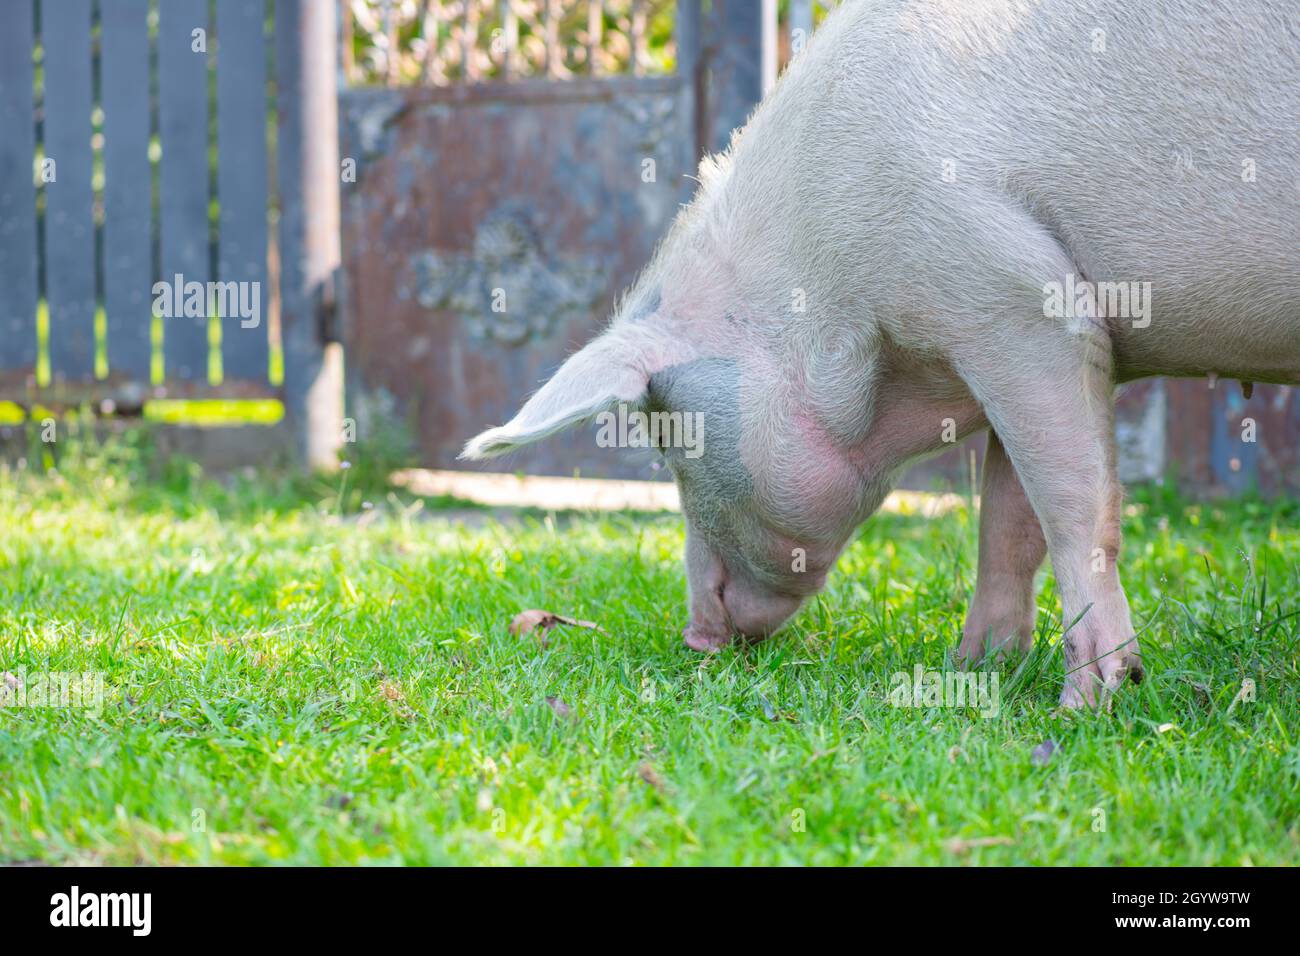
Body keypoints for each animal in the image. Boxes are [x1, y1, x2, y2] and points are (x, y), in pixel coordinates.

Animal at [464, 0, 1300, 707]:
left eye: (669, 443)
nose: (696, 637)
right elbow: (1006, 521)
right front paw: (975, 669)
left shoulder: (1019, 301)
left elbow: (1069, 506)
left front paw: (1089, 703)